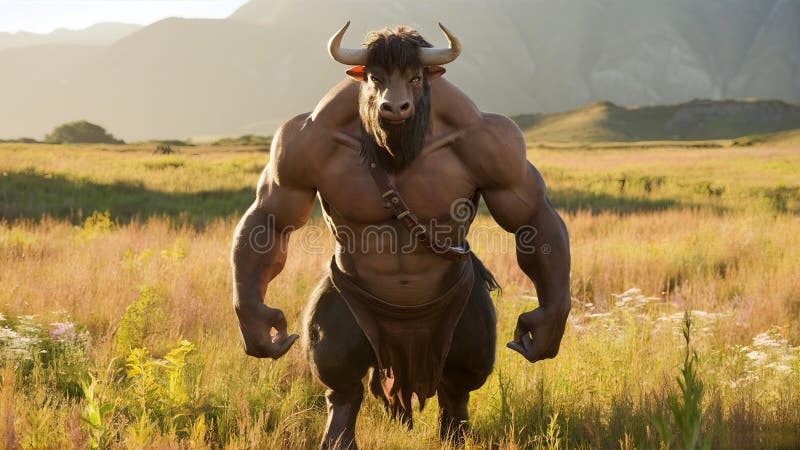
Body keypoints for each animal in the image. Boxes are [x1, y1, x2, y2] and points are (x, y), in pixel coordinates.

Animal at [231, 22, 571, 449]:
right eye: (376, 77)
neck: (397, 150)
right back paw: (338, 436)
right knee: (343, 387)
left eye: (414, 78)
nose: (394, 107)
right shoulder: (296, 144)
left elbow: (530, 216)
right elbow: (272, 218)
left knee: (456, 388)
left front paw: (547, 324)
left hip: (462, 337)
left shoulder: (501, 144)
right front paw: (254, 319)